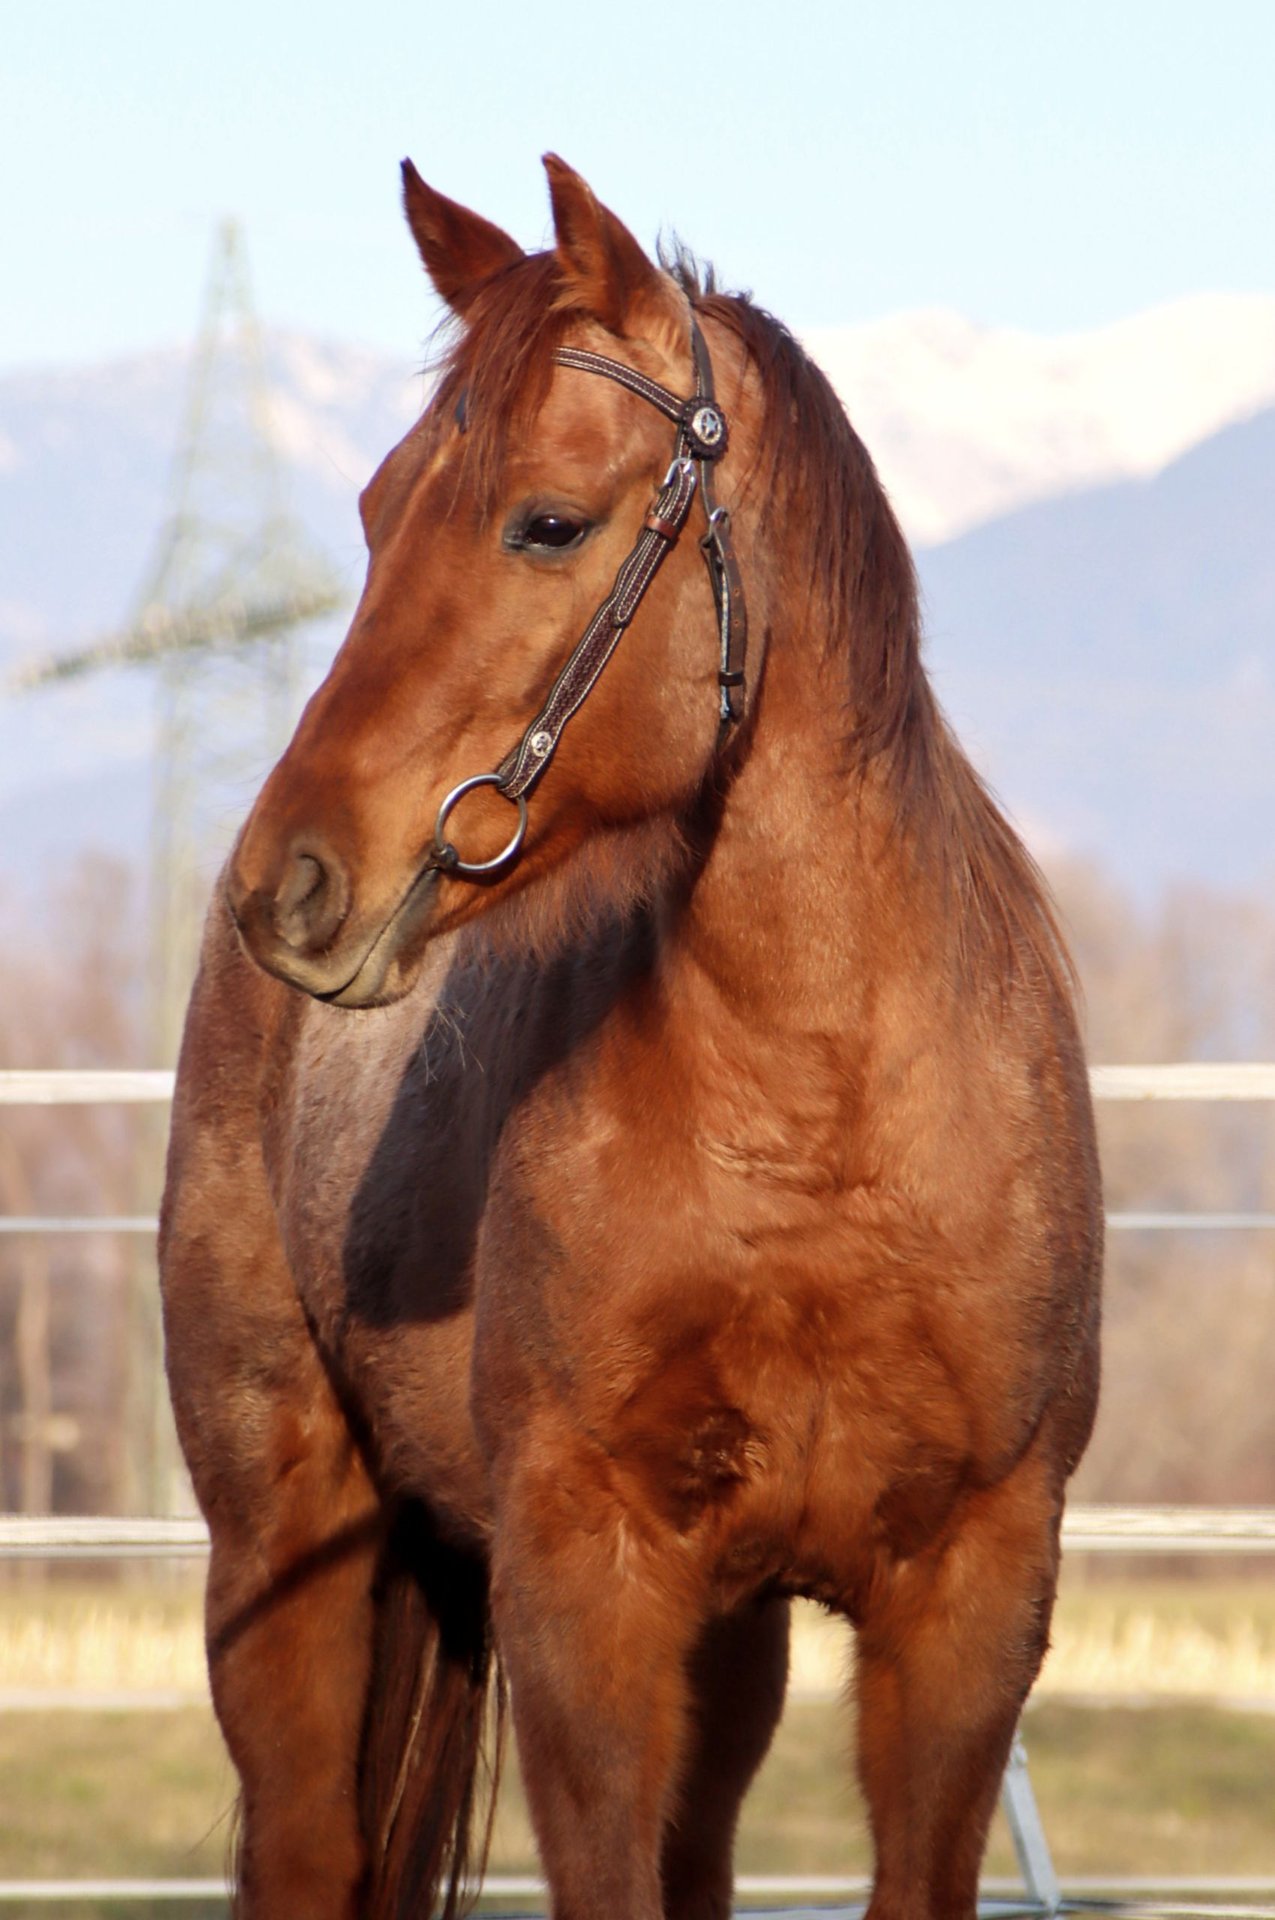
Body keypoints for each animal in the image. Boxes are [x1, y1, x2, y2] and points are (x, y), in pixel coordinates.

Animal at [159, 154, 1102, 1920]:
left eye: (546, 522)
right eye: (376, 512)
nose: (287, 883)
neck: (819, 1119)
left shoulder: (969, 1603)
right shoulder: (586, 1597)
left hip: (725, 1649)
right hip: (283, 1549)